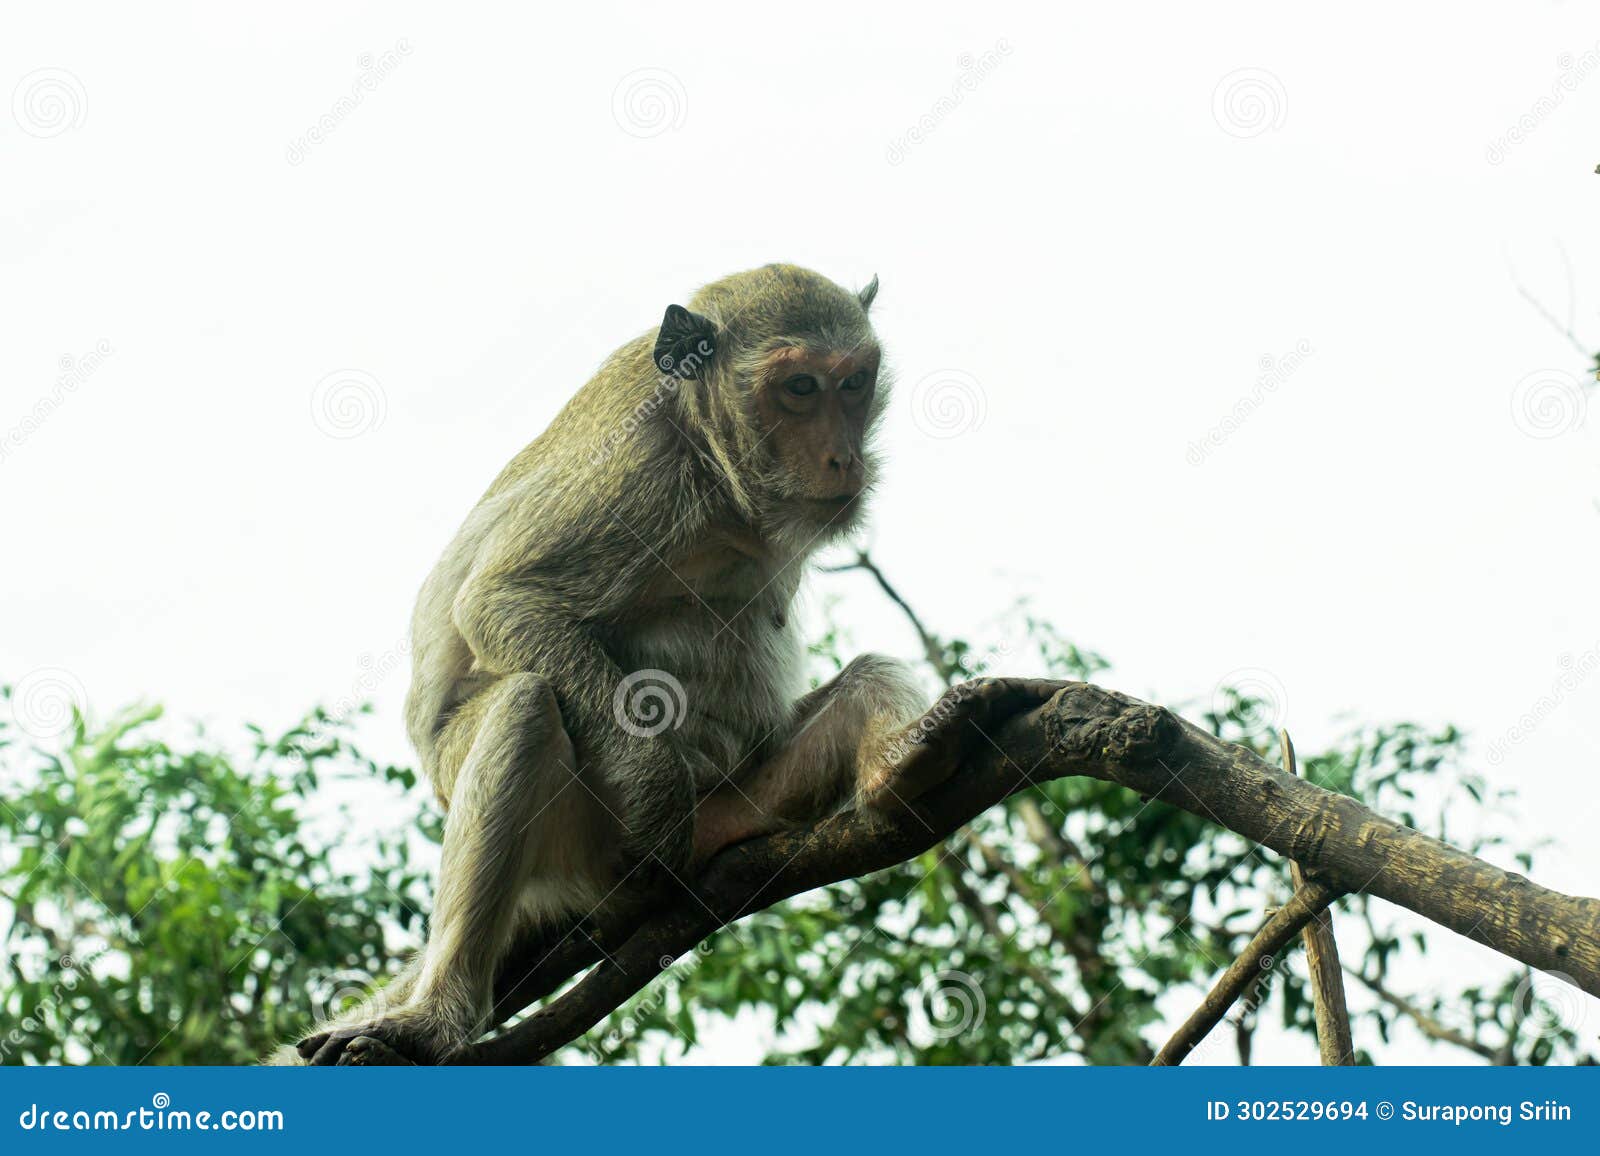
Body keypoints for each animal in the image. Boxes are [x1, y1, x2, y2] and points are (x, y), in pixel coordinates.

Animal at [280, 264, 1062, 1065]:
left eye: (853, 383)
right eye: (800, 387)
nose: (845, 458)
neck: (713, 468)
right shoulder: (634, 470)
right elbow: (504, 602)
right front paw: (655, 789)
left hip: (741, 799)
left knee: (864, 682)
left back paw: (904, 759)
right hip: (585, 846)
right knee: (525, 704)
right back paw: (436, 1018)